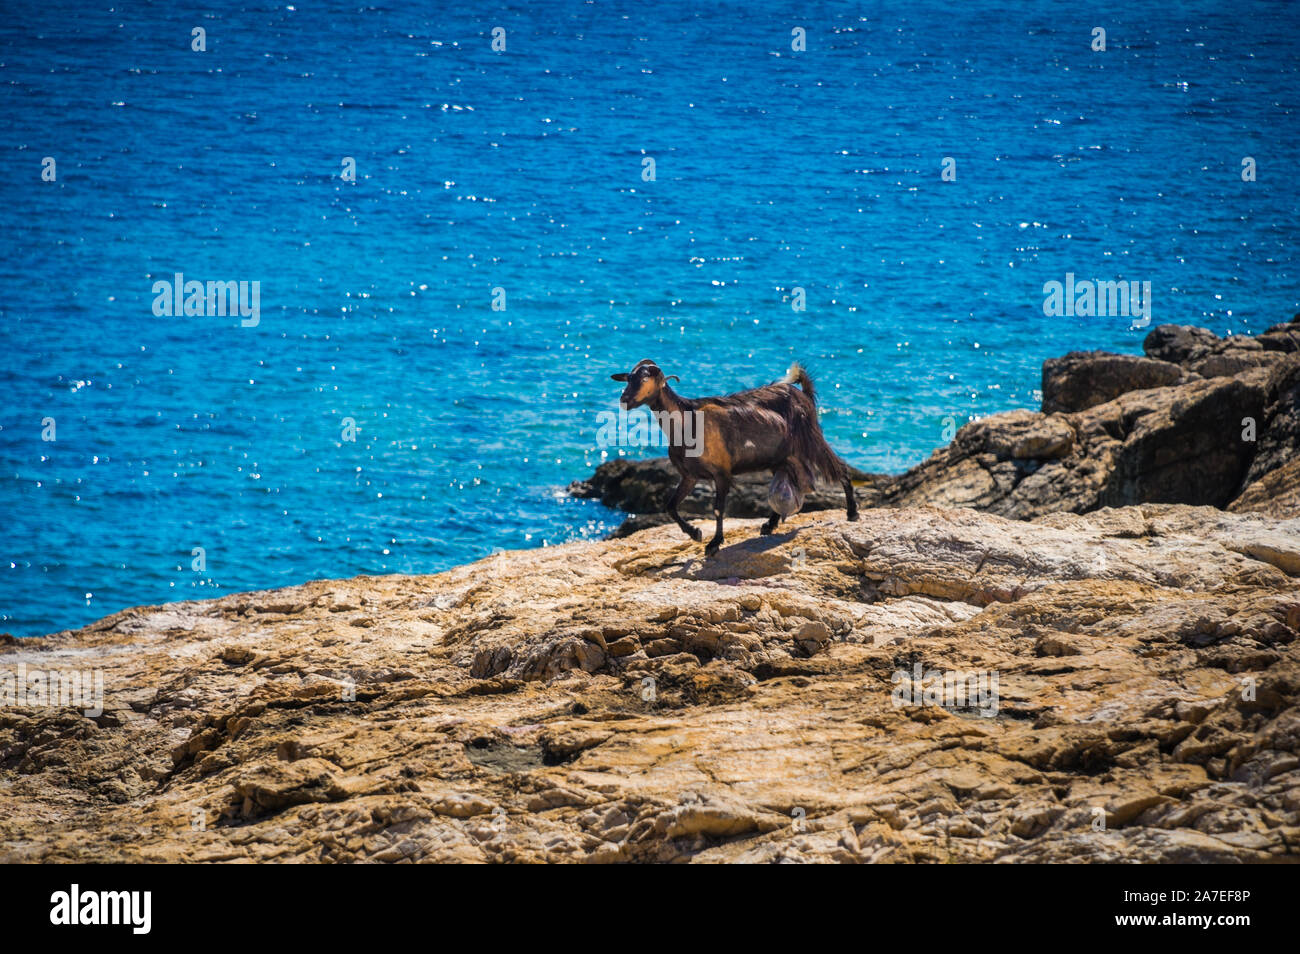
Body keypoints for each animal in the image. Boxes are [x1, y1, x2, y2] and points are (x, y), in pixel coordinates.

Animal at [611, 359, 859, 555]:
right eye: (628, 379)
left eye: (644, 378)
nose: (624, 399)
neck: (687, 422)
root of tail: (803, 393)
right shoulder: (690, 475)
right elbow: (670, 506)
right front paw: (695, 533)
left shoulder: (721, 473)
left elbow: (718, 509)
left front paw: (714, 544)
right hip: (778, 458)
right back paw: (769, 525)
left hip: (810, 440)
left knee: (839, 468)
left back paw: (852, 513)